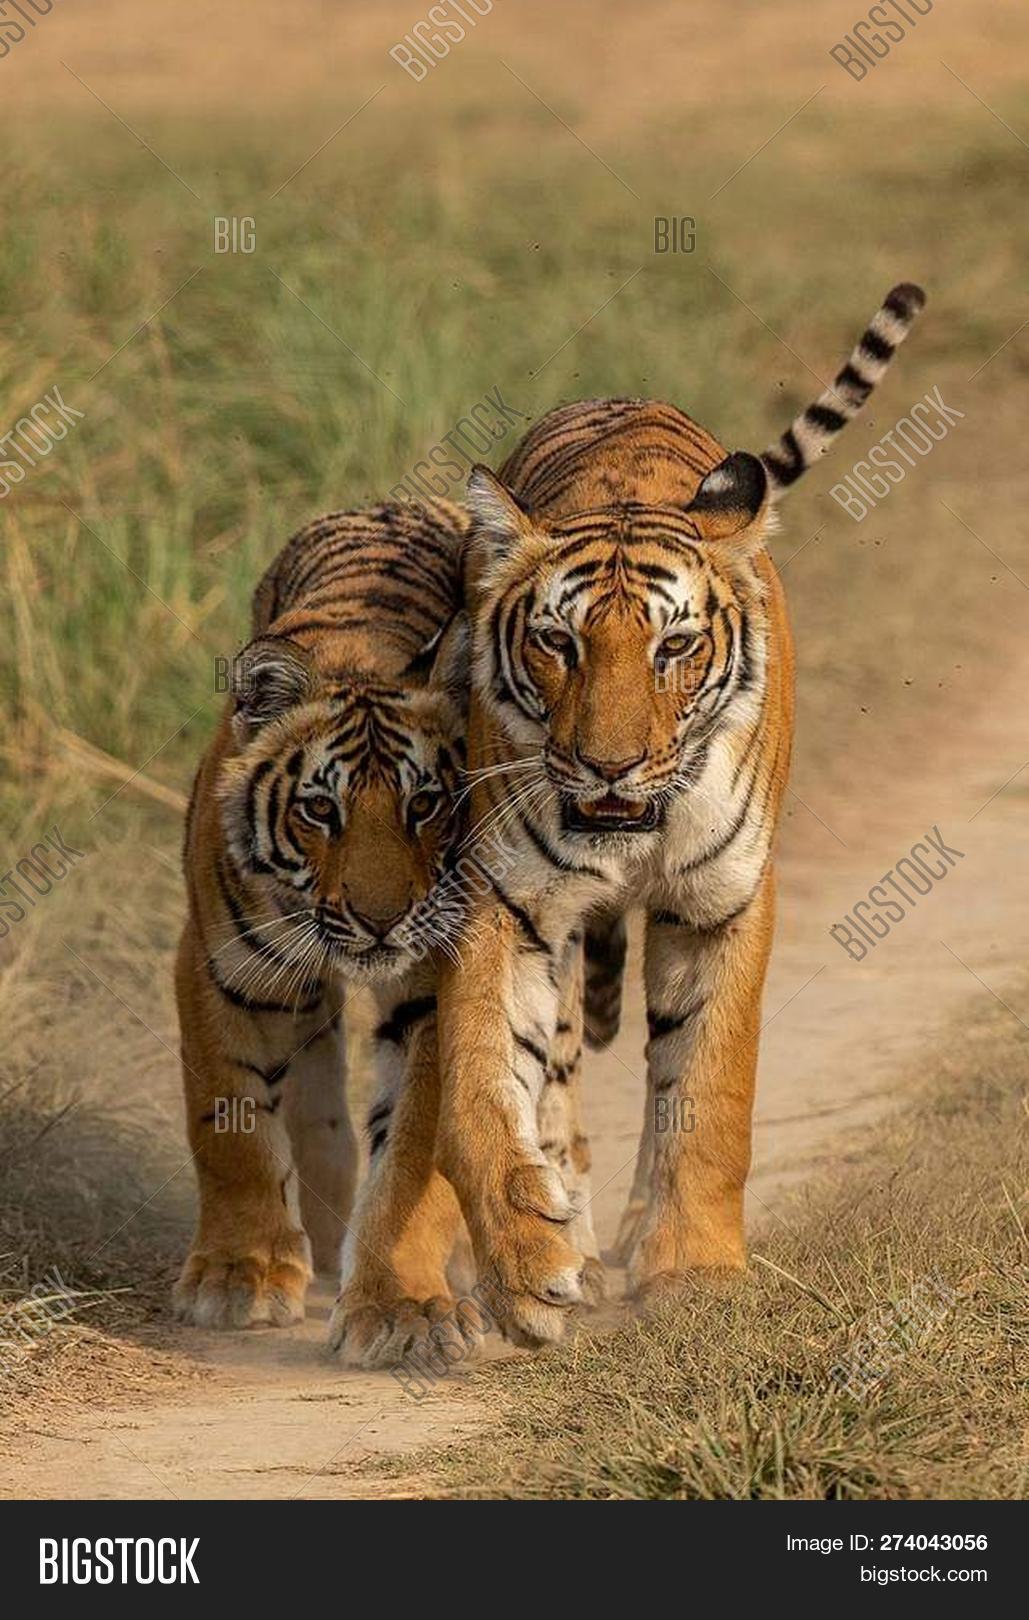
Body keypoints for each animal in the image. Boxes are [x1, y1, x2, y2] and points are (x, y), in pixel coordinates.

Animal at [411, 282, 927, 1348]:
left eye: (674, 648)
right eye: (558, 642)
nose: (608, 766)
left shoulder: (721, 901)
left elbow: (706, 1088)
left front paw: (693, 1272)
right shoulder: (504, 903)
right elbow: (483, 1090)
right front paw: (529, 1266)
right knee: (559, 1072)